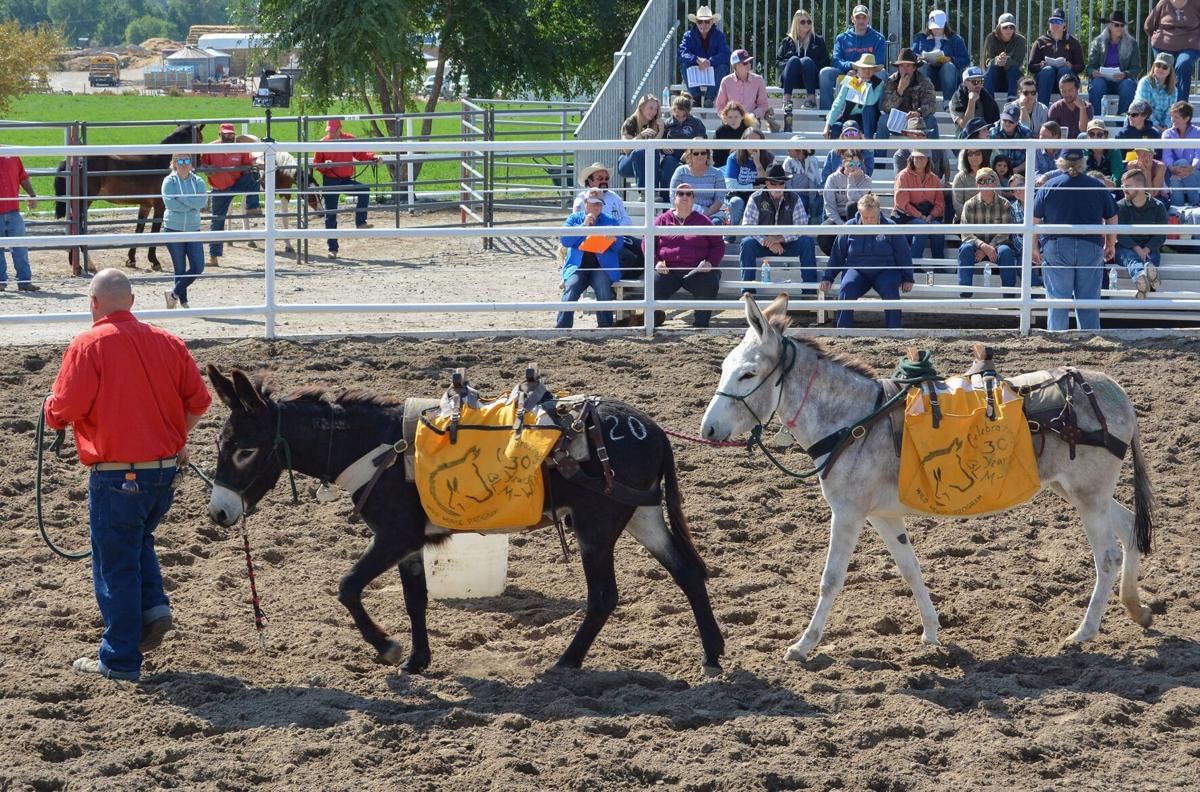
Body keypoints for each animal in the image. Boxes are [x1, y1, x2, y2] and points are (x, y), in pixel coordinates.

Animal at [54, 124, 204, 271]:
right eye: (201, 138)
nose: (200, 163)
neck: (161, 161)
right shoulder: (160, 206)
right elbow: (154, 230)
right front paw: (154, 261)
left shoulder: (145, 205)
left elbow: (139, 229)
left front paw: (131, 259)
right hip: (84, 201)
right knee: (77, 227)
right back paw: (84, 265)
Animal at [203, 366, 725, 675]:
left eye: (245, 449)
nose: (219, 511)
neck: (377, 445)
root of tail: (651, 429)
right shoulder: (410, 546)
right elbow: (416, 601)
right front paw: (417, 659)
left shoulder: (392, 536)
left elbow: (348, 586)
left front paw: (387, 648)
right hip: (642, 515)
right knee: (686, 572)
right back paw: (713, 654)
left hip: (596, 529)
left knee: (603, 597)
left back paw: (566, 661)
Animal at [699, 294, 1156, 662]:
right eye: (724, 367)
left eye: (746, 374)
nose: (708, 429)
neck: (856, 421)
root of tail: (1112, 390)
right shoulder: (883, 516)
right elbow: (910, 568)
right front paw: (932, 631)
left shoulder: (848, 513)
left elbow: (831, 579)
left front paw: (803, 645)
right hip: (1081, 493)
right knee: (1130, 528)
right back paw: (1137, 608)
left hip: (1088, 497)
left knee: (1107, 556)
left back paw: (1085, 631)